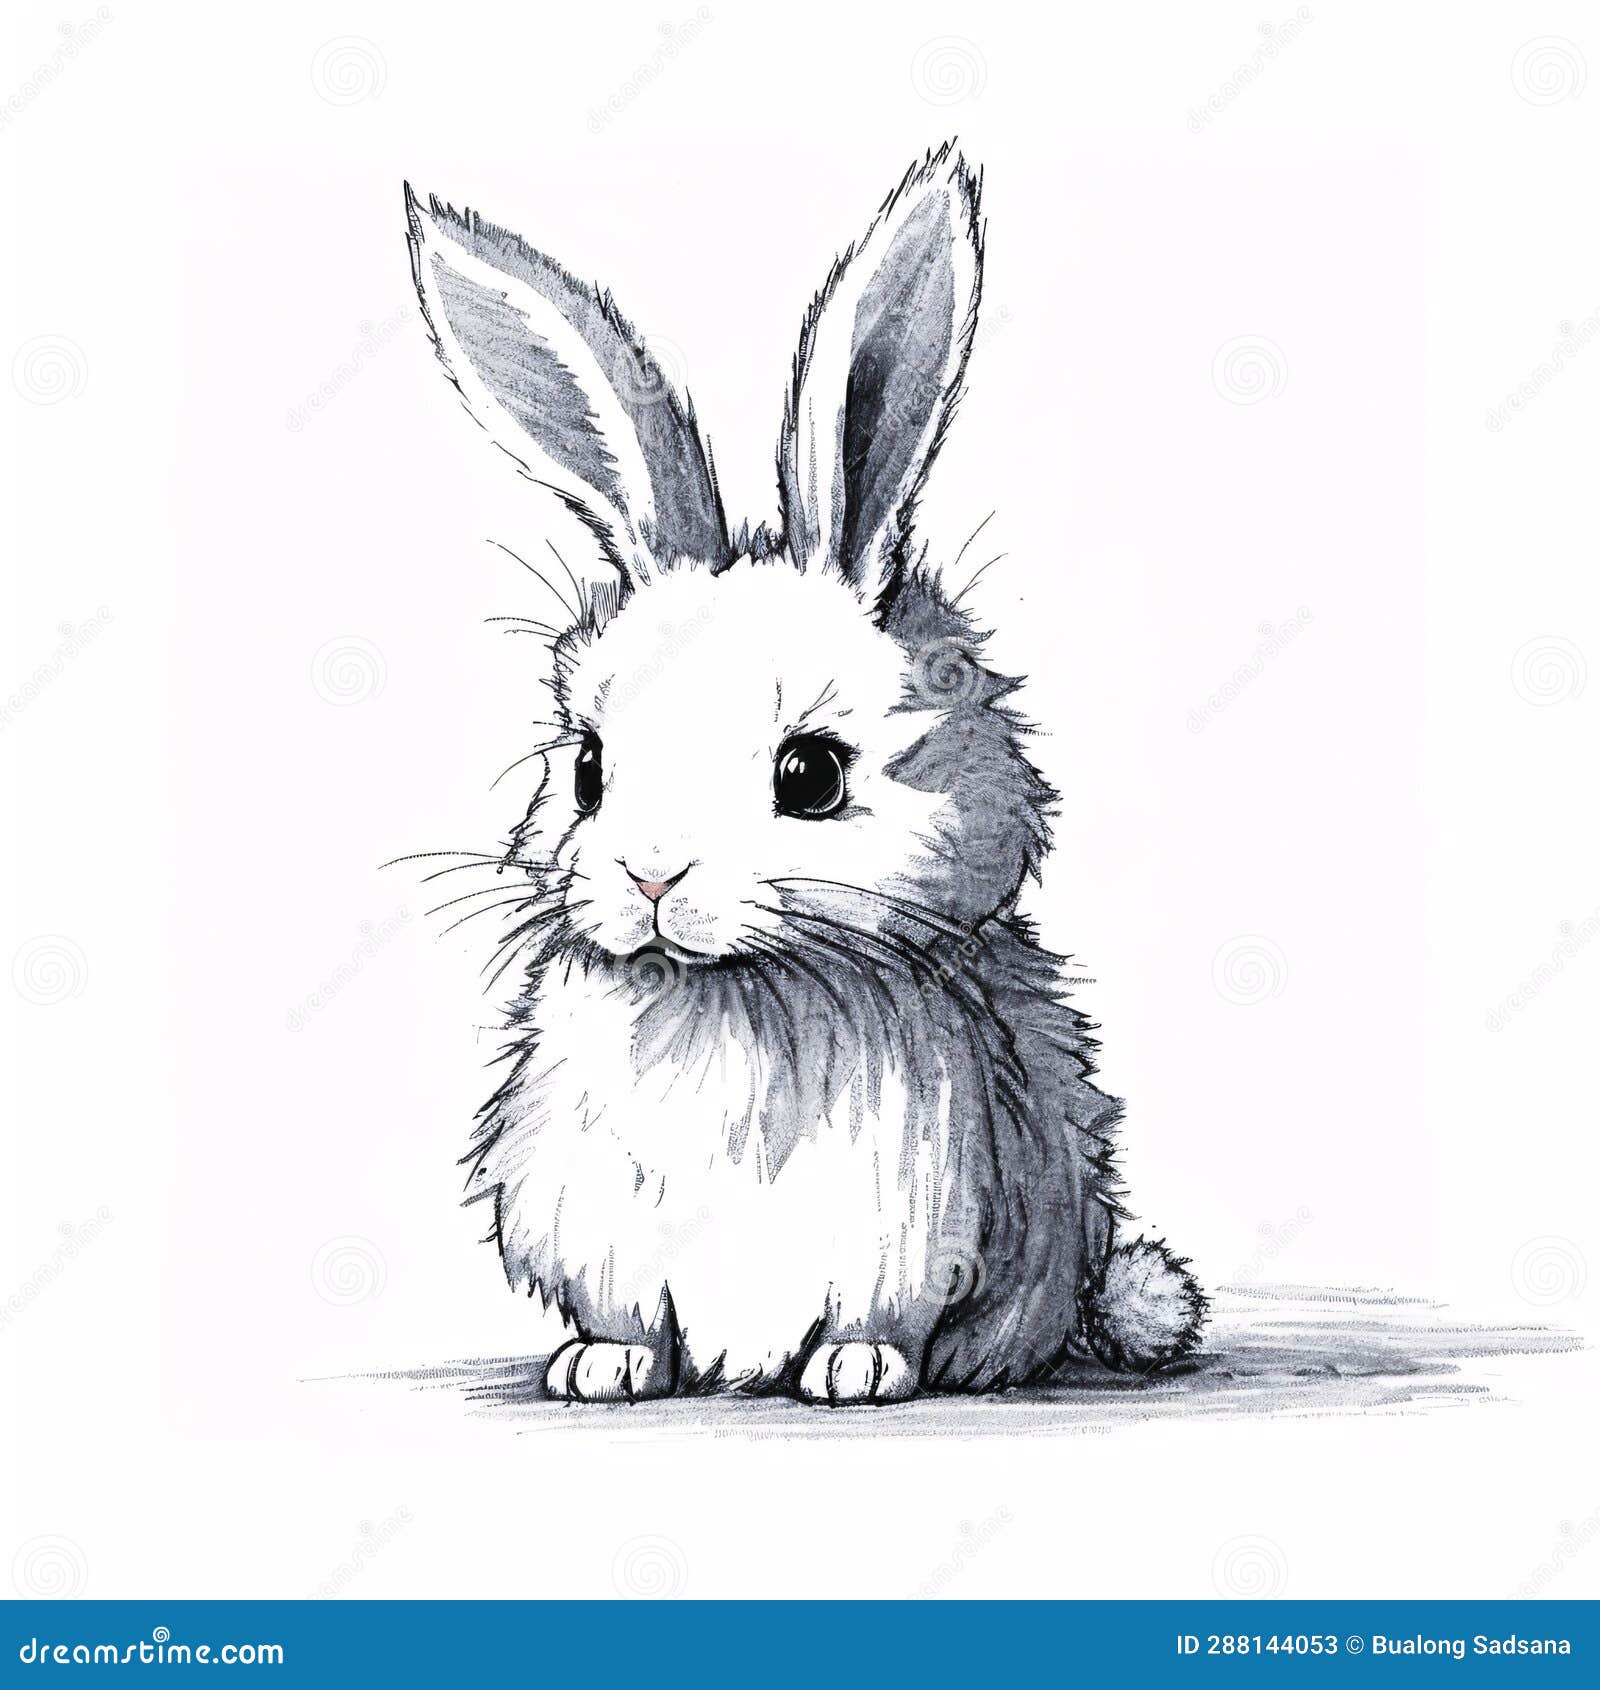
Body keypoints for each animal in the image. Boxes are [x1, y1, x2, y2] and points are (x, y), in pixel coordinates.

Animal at [403, 141, 1204, 1403]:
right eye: (587, 768)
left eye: (811, 774)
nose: (650, 877)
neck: (731, 992)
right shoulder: (591, 1217)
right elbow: (629, 1313)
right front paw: (602, 1366)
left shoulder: (917, 1222)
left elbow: (879, 1313)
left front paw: (857, 1370)